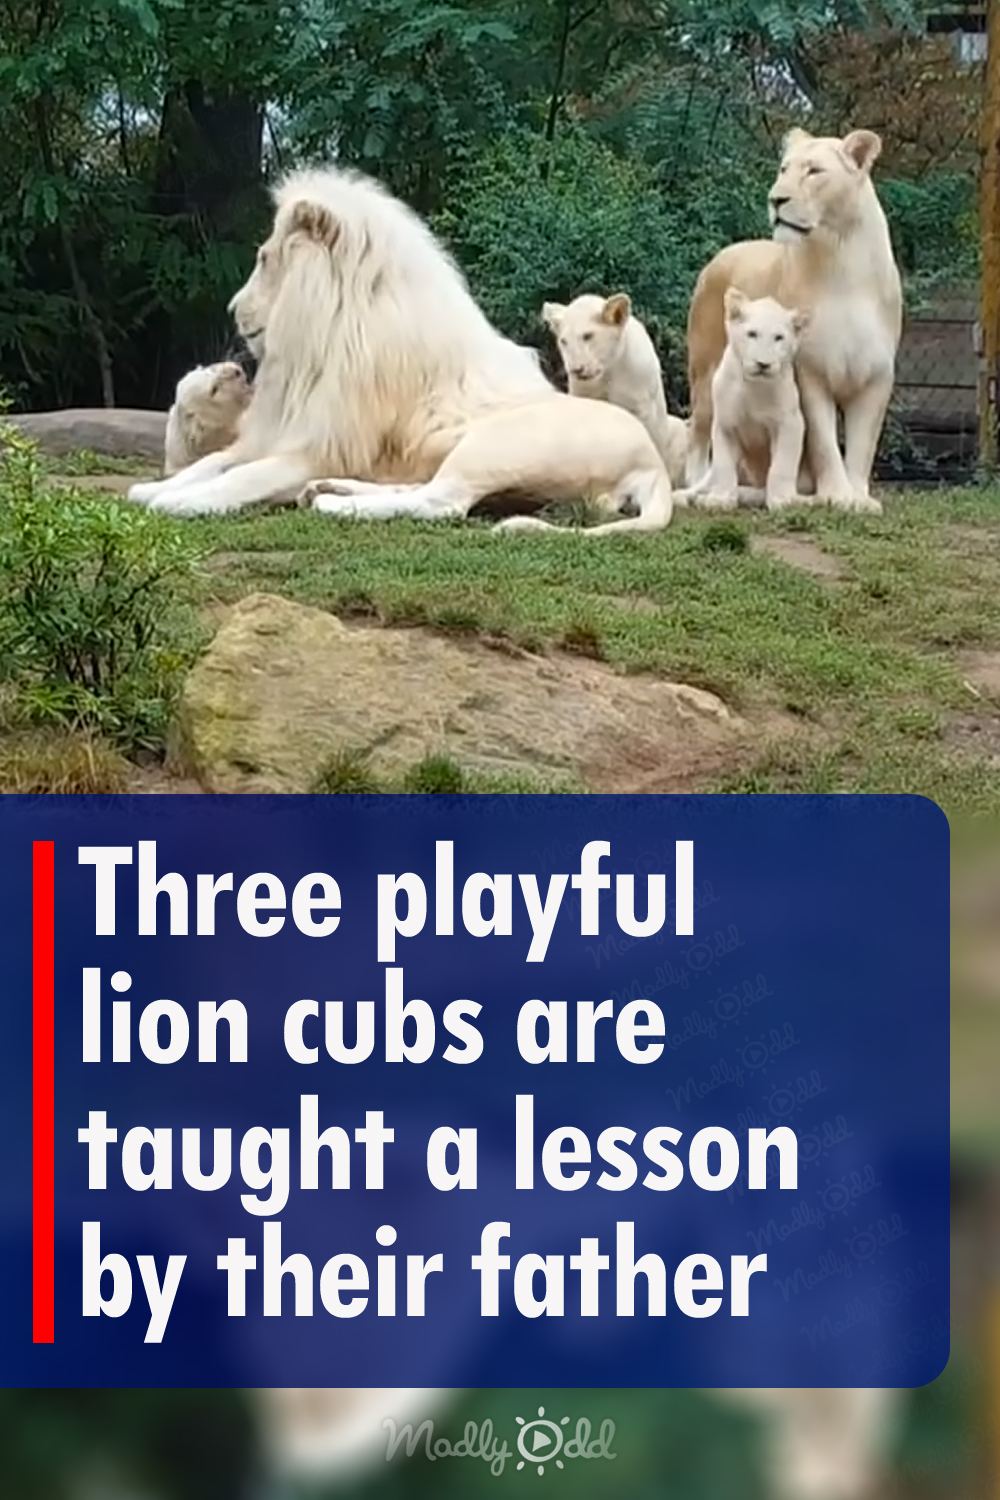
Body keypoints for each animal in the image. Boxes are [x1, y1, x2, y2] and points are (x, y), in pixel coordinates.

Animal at [128, 168, 673, 536]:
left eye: (264, 259)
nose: (233, 309)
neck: (323, 335)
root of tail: (653, 462)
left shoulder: (318, 446)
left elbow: (240, 478)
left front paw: (180, 503)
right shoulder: (276, 433)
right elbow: (212, 463)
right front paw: (152, 489)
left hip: (493, 444)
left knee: (442, 501)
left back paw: (331, 503)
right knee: (422, 490)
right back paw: (329, 490)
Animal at [683, 290, 808, 511]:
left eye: (779, 338)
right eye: (752, 334)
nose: (763, 364)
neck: (753, 387)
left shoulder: (790, 423)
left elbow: (782, 466)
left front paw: (782, 500)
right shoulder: (725, 424)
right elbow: (723, 465)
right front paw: (721, 500)